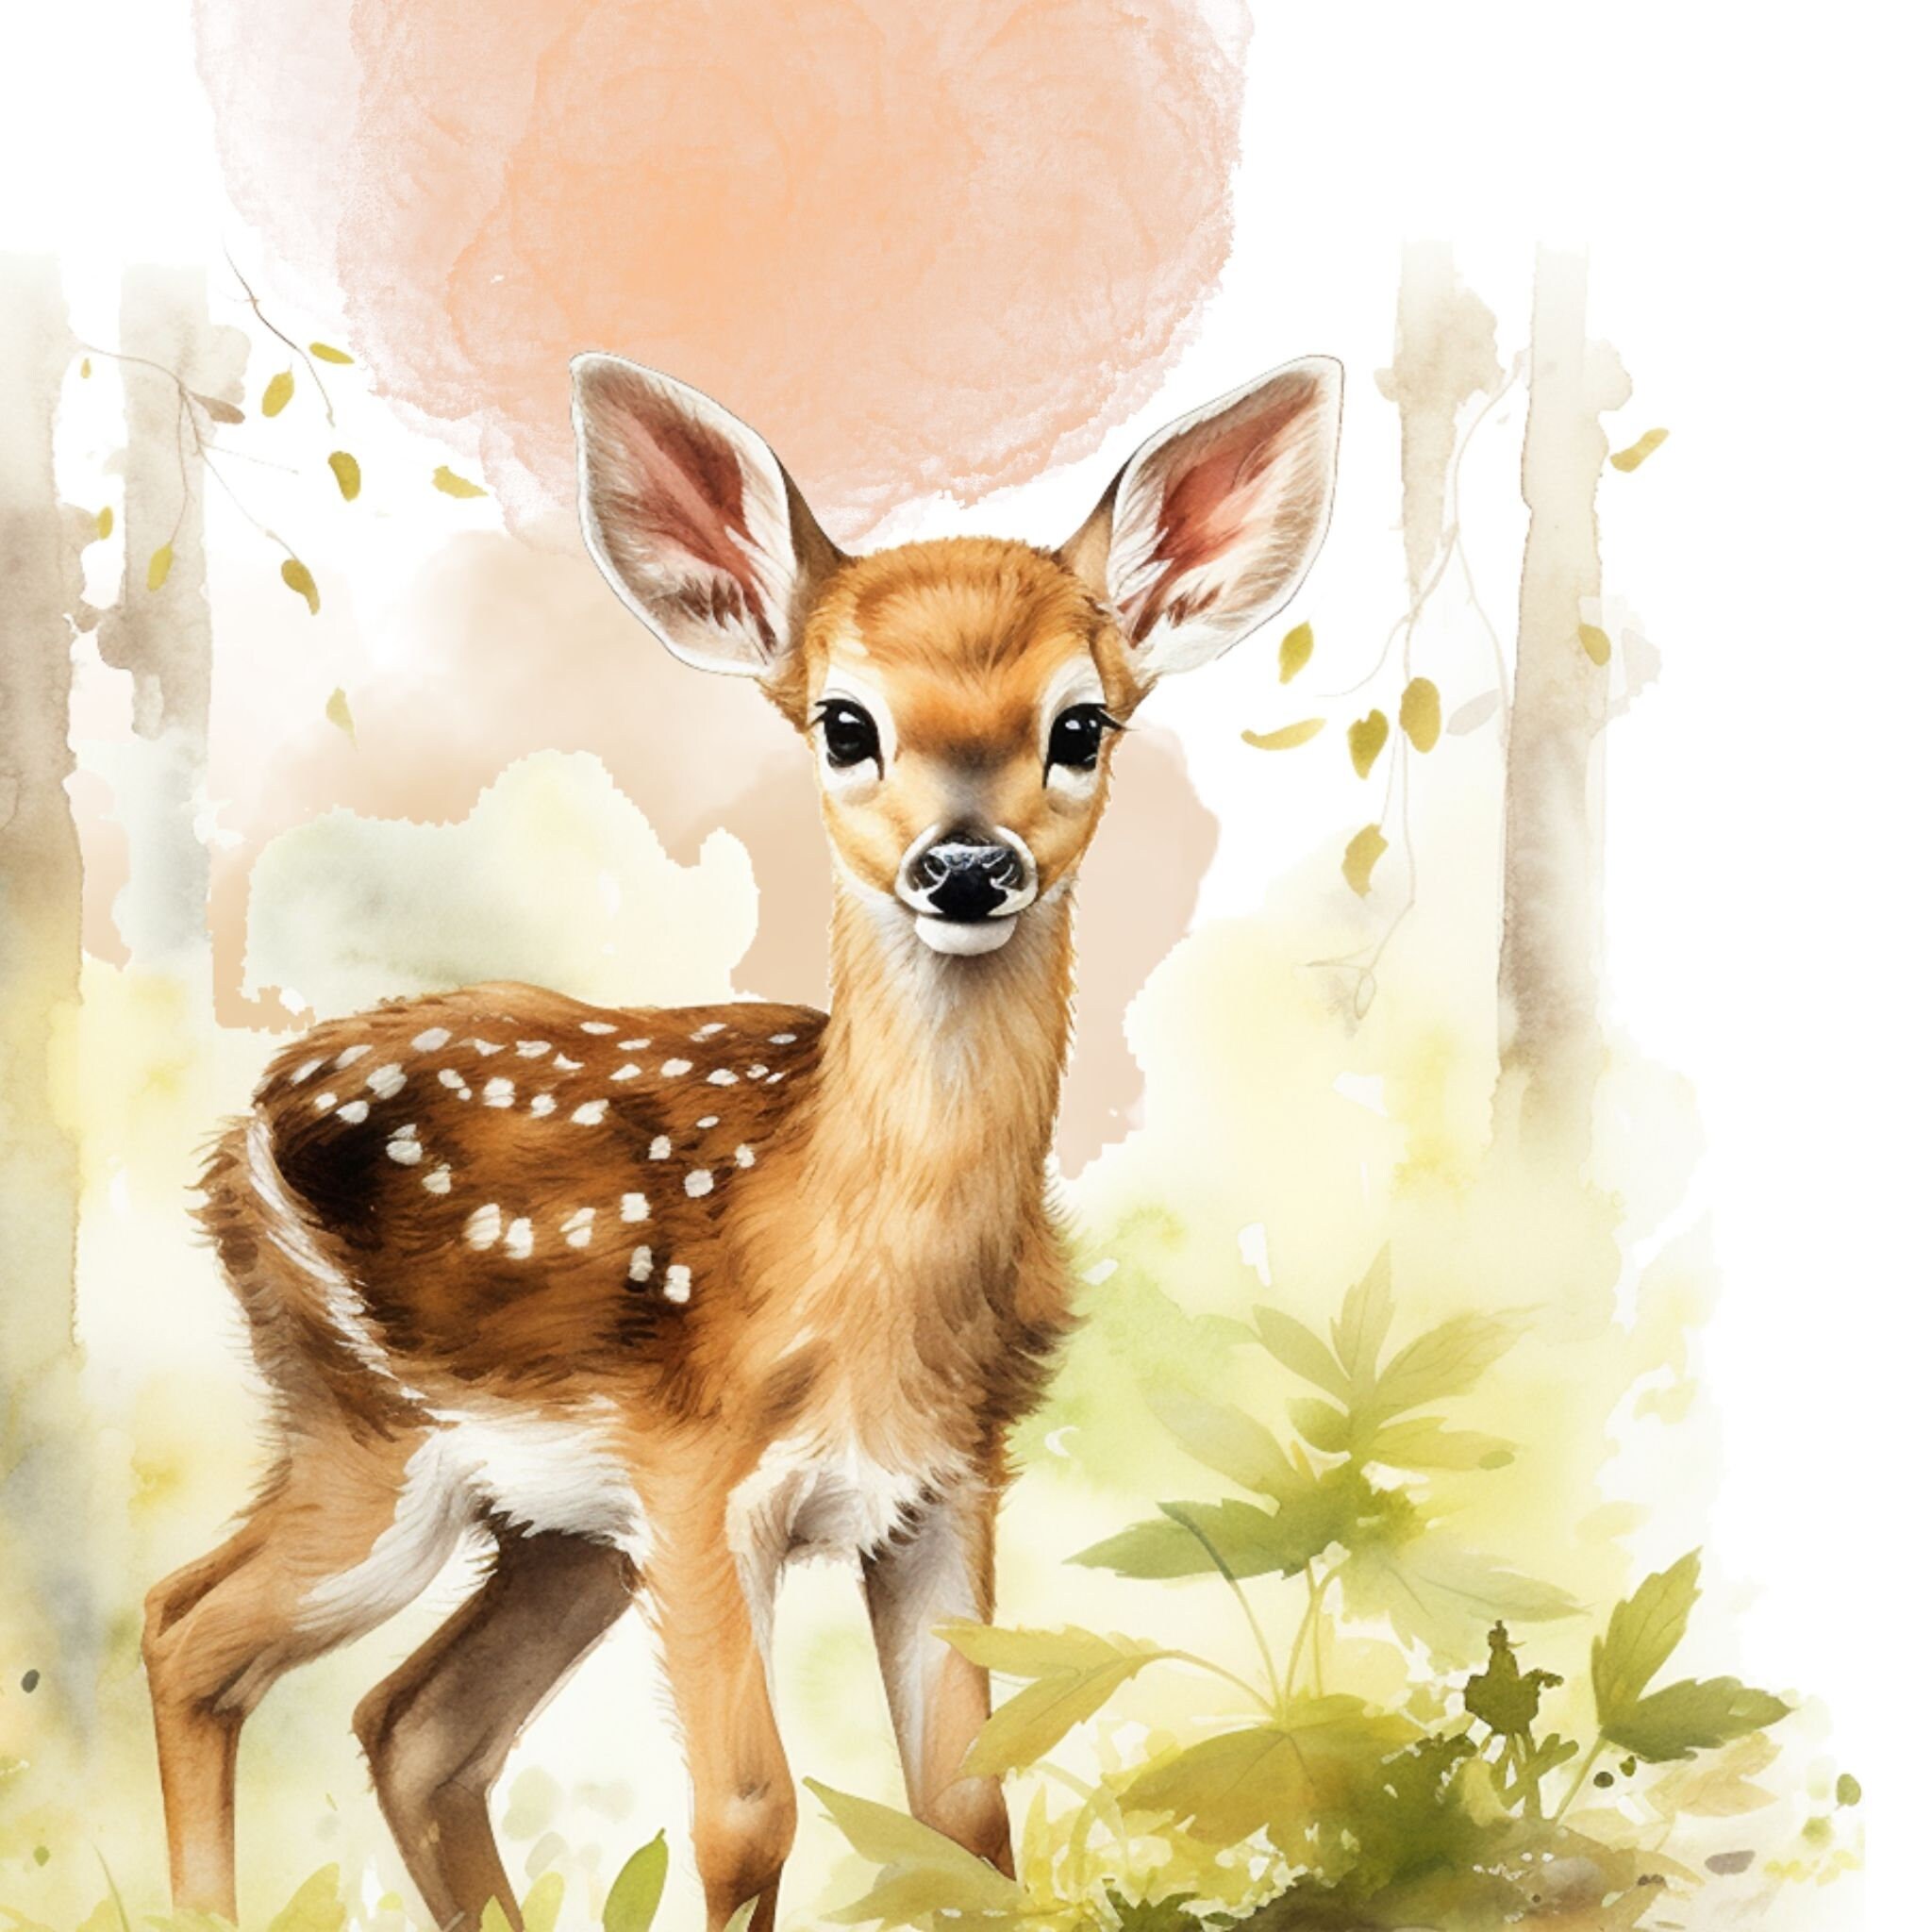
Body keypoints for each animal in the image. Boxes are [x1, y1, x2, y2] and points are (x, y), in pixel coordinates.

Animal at [143, 349, 1341, 1932]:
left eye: (1081, 726)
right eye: (845, 723)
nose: (968, 865)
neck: (850, 1259)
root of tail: (244, 1127)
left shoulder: (943, 1486)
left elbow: (966, 1810)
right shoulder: (700, 1476)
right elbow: (748, 1818)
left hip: (554, 1529)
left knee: (412, 1724)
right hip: (368, 1432)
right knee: (189, 1631)